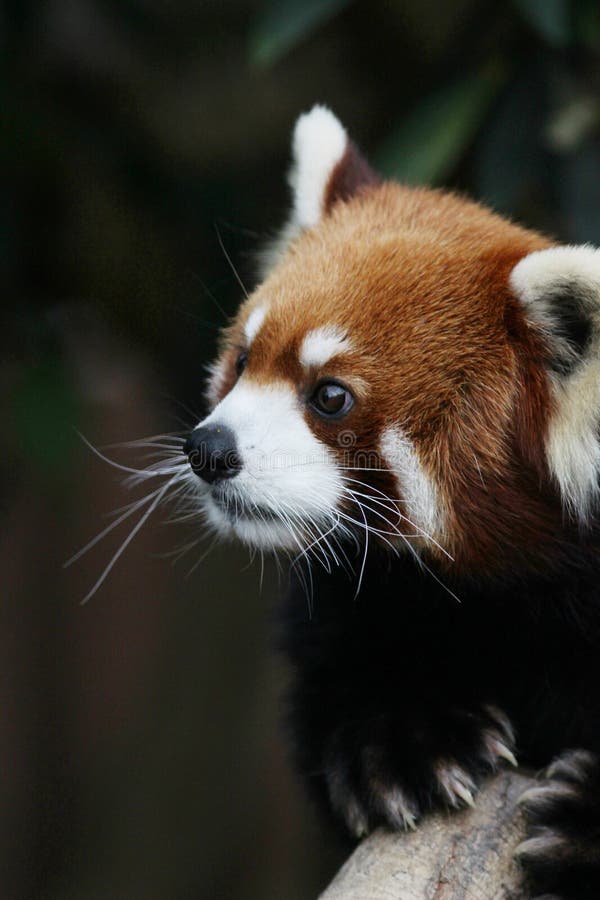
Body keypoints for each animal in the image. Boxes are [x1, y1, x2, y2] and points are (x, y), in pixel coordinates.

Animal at [183, 105, 600, 898]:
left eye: (330, 396)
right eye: (244, 361)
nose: (208, 450)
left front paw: (581, 829)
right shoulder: (358, 593)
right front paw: (404, 737)